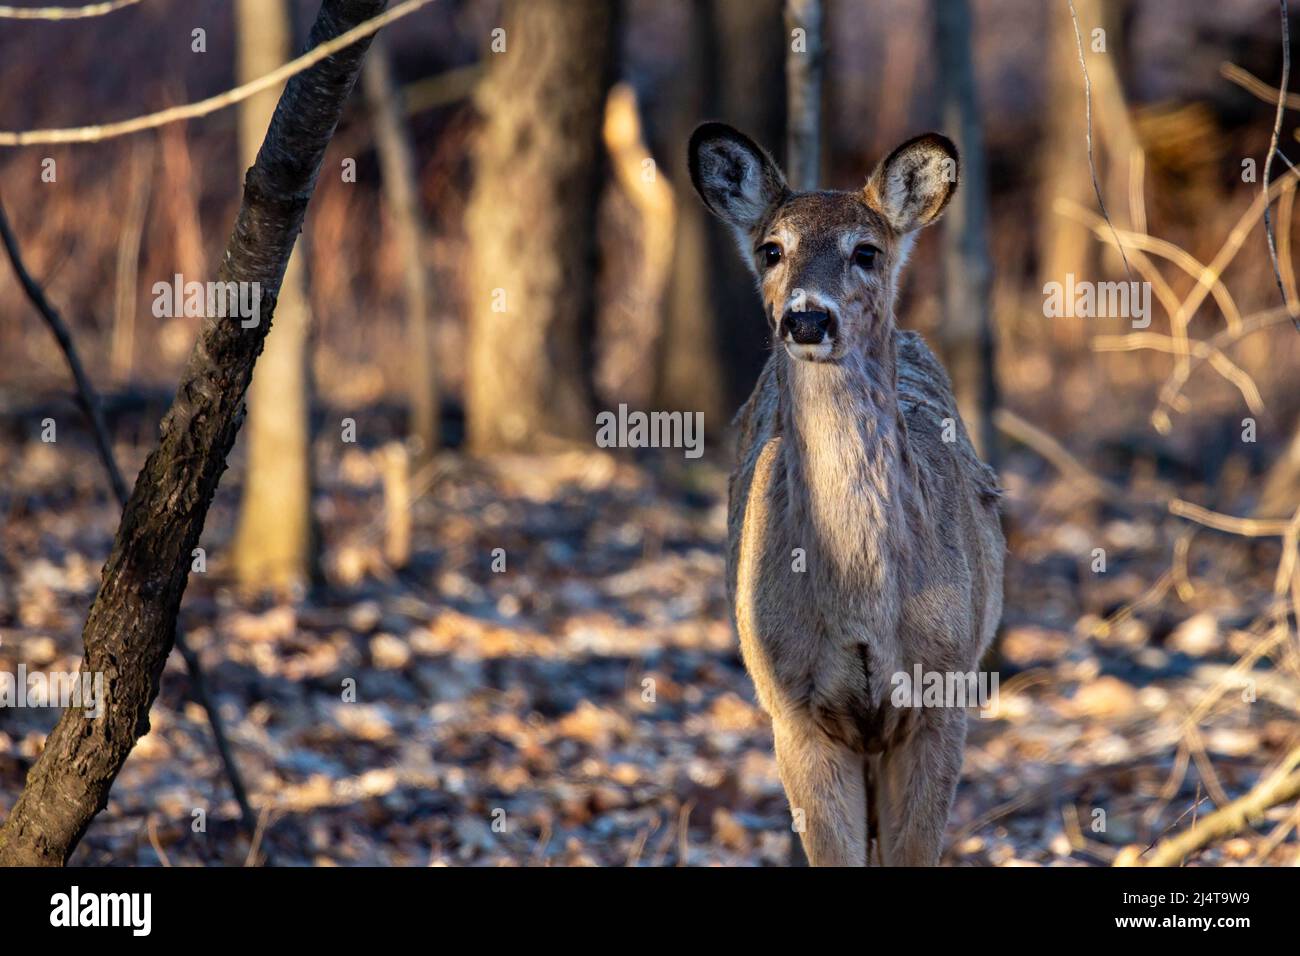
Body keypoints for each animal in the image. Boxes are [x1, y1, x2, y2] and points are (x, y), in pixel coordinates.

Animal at [689, 122, 1004, 866]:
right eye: (772, 249)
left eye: (866, 251)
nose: (806, 320)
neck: (862, 603)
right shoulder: (794, 707)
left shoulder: (943, 698)